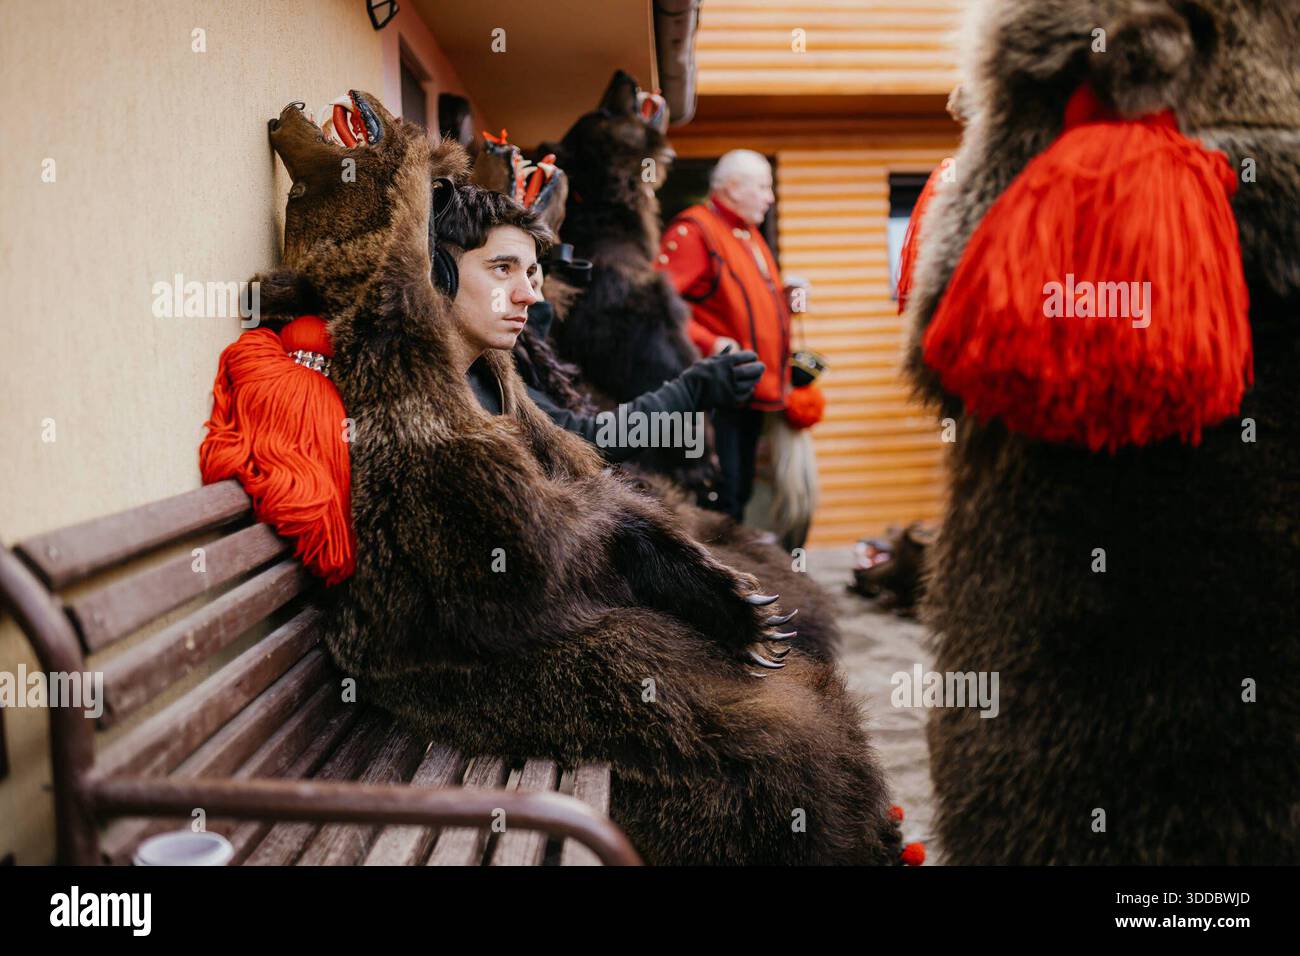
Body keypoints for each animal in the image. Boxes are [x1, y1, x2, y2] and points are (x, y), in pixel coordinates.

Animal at [255, 90, 901, 864]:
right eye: (508, 266)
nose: (295, 112)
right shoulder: (420, 414)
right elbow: (528, 542)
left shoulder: (529, 407)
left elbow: (595, 471)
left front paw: (732, 597)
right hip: (557, 683)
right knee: (763, 744)